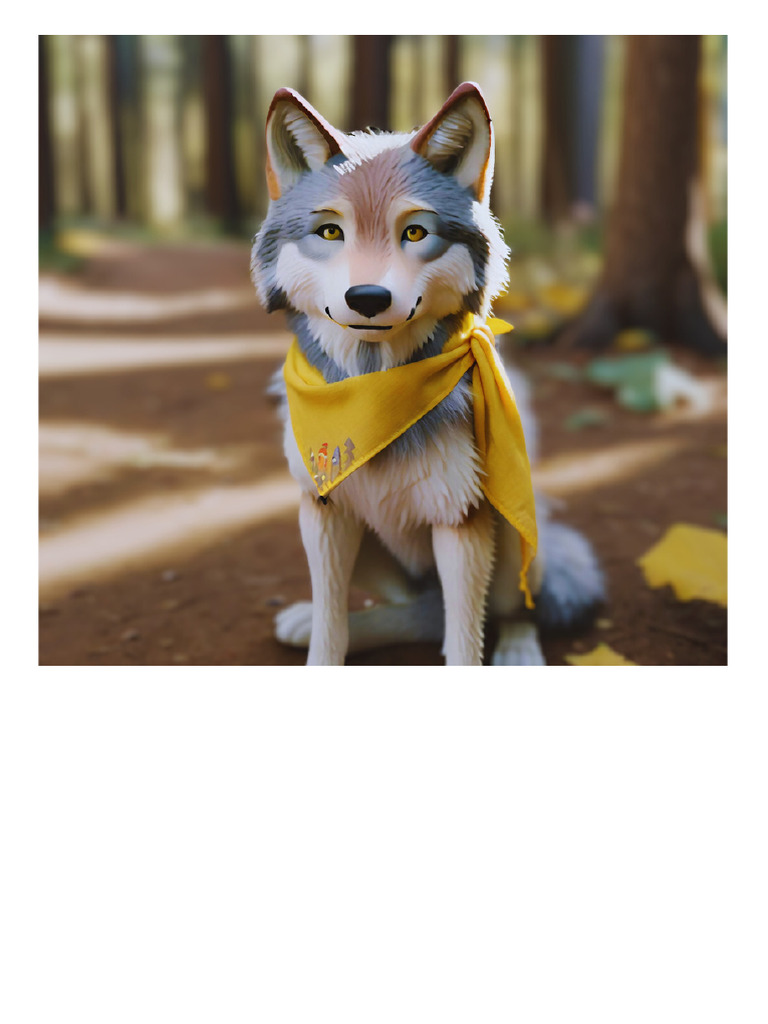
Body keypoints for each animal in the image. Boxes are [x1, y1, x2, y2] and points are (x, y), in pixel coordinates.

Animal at [251, 81, 604, 666]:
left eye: (415, 232)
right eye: (330, 231)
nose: (368, 299)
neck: (374, 392)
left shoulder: (461, 518)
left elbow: (463, 640)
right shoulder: (323, 511)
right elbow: (330, 625)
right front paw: (319, 636)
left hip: (515, 531)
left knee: (509, 608)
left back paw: (518, 650)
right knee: (416, 612)